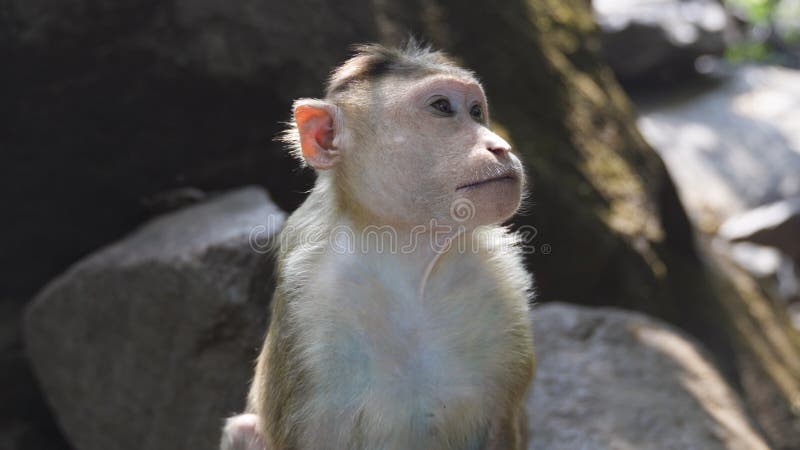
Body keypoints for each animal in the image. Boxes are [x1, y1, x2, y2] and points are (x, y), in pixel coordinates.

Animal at [221, 41, 535, 450]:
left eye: (476, 112)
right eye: (442, 107)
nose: (499, 145)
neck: (408, 252)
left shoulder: (500, 287)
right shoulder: (310, 304)